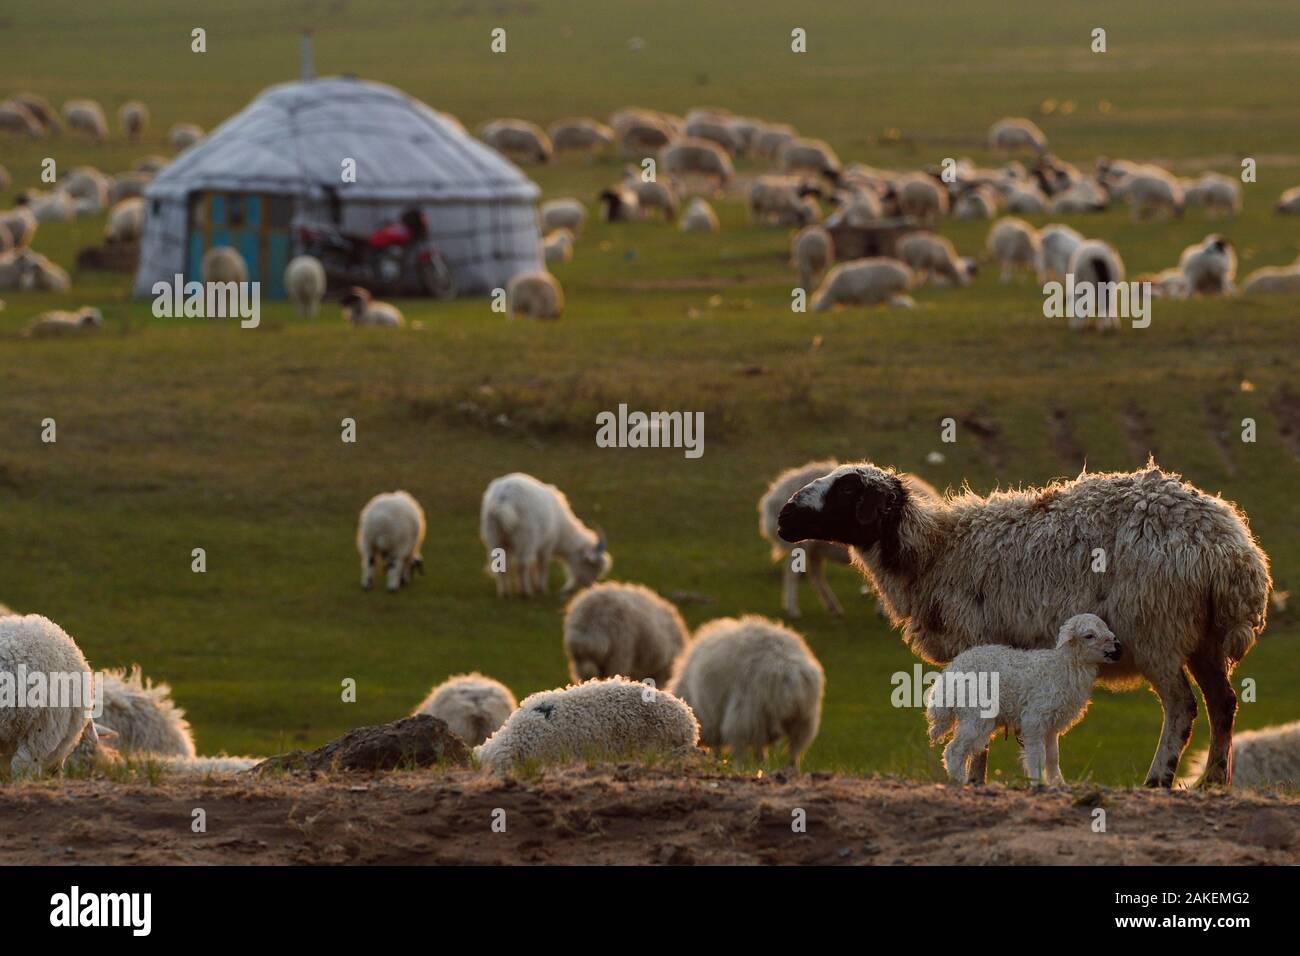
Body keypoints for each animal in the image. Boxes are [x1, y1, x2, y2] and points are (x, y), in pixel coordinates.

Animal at [479, 472, 611, 597]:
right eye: (592, 565)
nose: (590, 587)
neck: (563, 533)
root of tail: (503, 500)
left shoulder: (537, 546)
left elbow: (533, 565)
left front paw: (535, 584)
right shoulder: (547, 545)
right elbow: (543, 565)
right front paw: (541, 589)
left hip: (493, 537)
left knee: (499, 564)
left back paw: (504, 593)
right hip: (525, 537)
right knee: (522, 564)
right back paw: (525, 593)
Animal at [669, 615, 824, 769]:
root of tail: (789, 673)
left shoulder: (715, 714)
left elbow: (720, 745)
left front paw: (717, 760)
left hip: (746, 713)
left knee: (740, 747)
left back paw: (739, 768)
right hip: (803, 720)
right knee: (793, 753)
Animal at [927, 613, 1121, 785]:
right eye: (1089, 635)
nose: (1117, 650)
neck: (1064, 666)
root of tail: (949, 673)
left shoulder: (1051, 726)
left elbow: (1053, 757)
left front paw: (1057, 783)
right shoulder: (1035, 719)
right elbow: (1037, 757)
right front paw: (1037, 782)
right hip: (975, 713)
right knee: (954, 750)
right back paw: (960, 781)